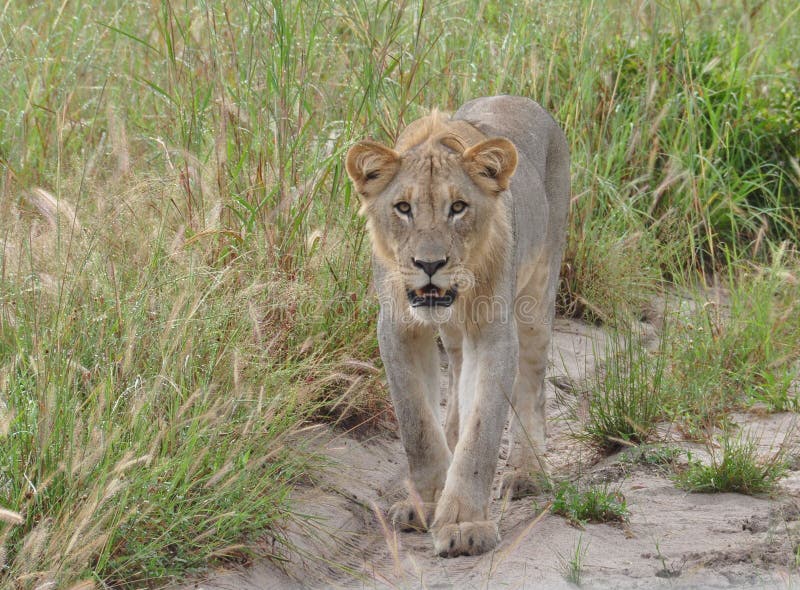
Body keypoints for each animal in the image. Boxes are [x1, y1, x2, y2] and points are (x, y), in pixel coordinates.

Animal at [345, 95, 570, 557]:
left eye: (458, 207)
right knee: (458, 380)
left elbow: (481, 431)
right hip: (454, 332)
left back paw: (527, 472)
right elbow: (418, 426)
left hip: (538, 296)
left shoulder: (495, 332)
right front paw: (428, 503)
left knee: (533, 383)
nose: (429, 264)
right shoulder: (398, 327)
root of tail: (521, 99)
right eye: (404, 208)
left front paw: (465, 523)